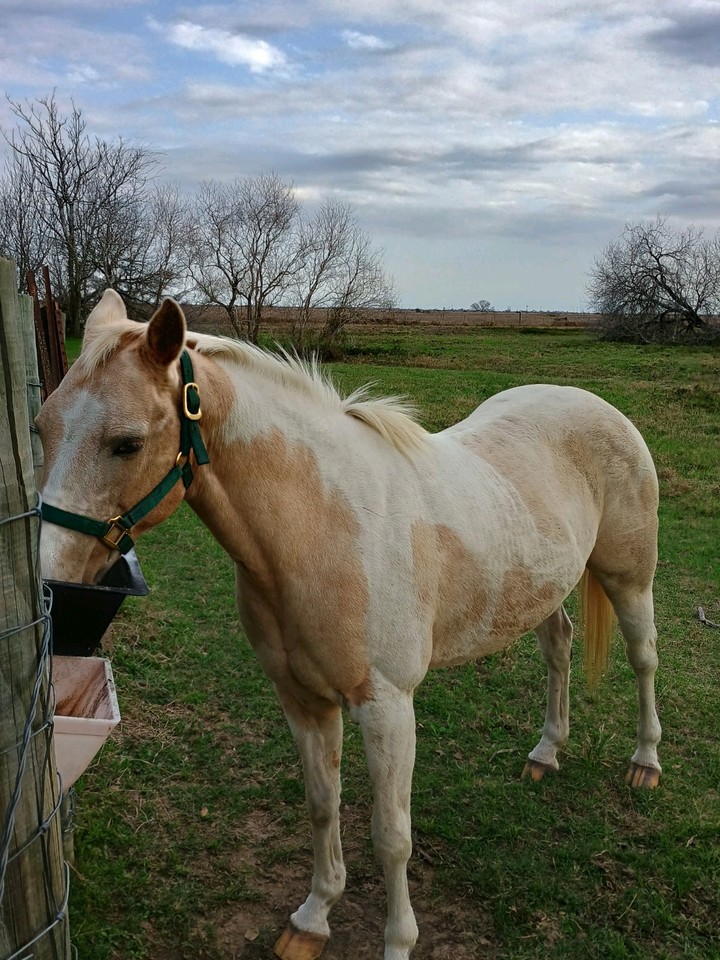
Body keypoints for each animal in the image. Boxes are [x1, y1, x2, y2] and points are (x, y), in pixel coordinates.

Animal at [37, 291, 662, 960]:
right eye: (43, 427)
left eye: (126, 444)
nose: (50, 583)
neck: (322, 526)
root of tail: (597, 406)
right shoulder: (302, 698)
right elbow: (322, 804)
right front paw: (312, 918)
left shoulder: (387, 706)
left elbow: (392, 836)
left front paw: (397, 941)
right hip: (541, 590)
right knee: (559, 649)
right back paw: (546, 752)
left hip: (629, 579)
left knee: (643, 657)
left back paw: (645, 762)